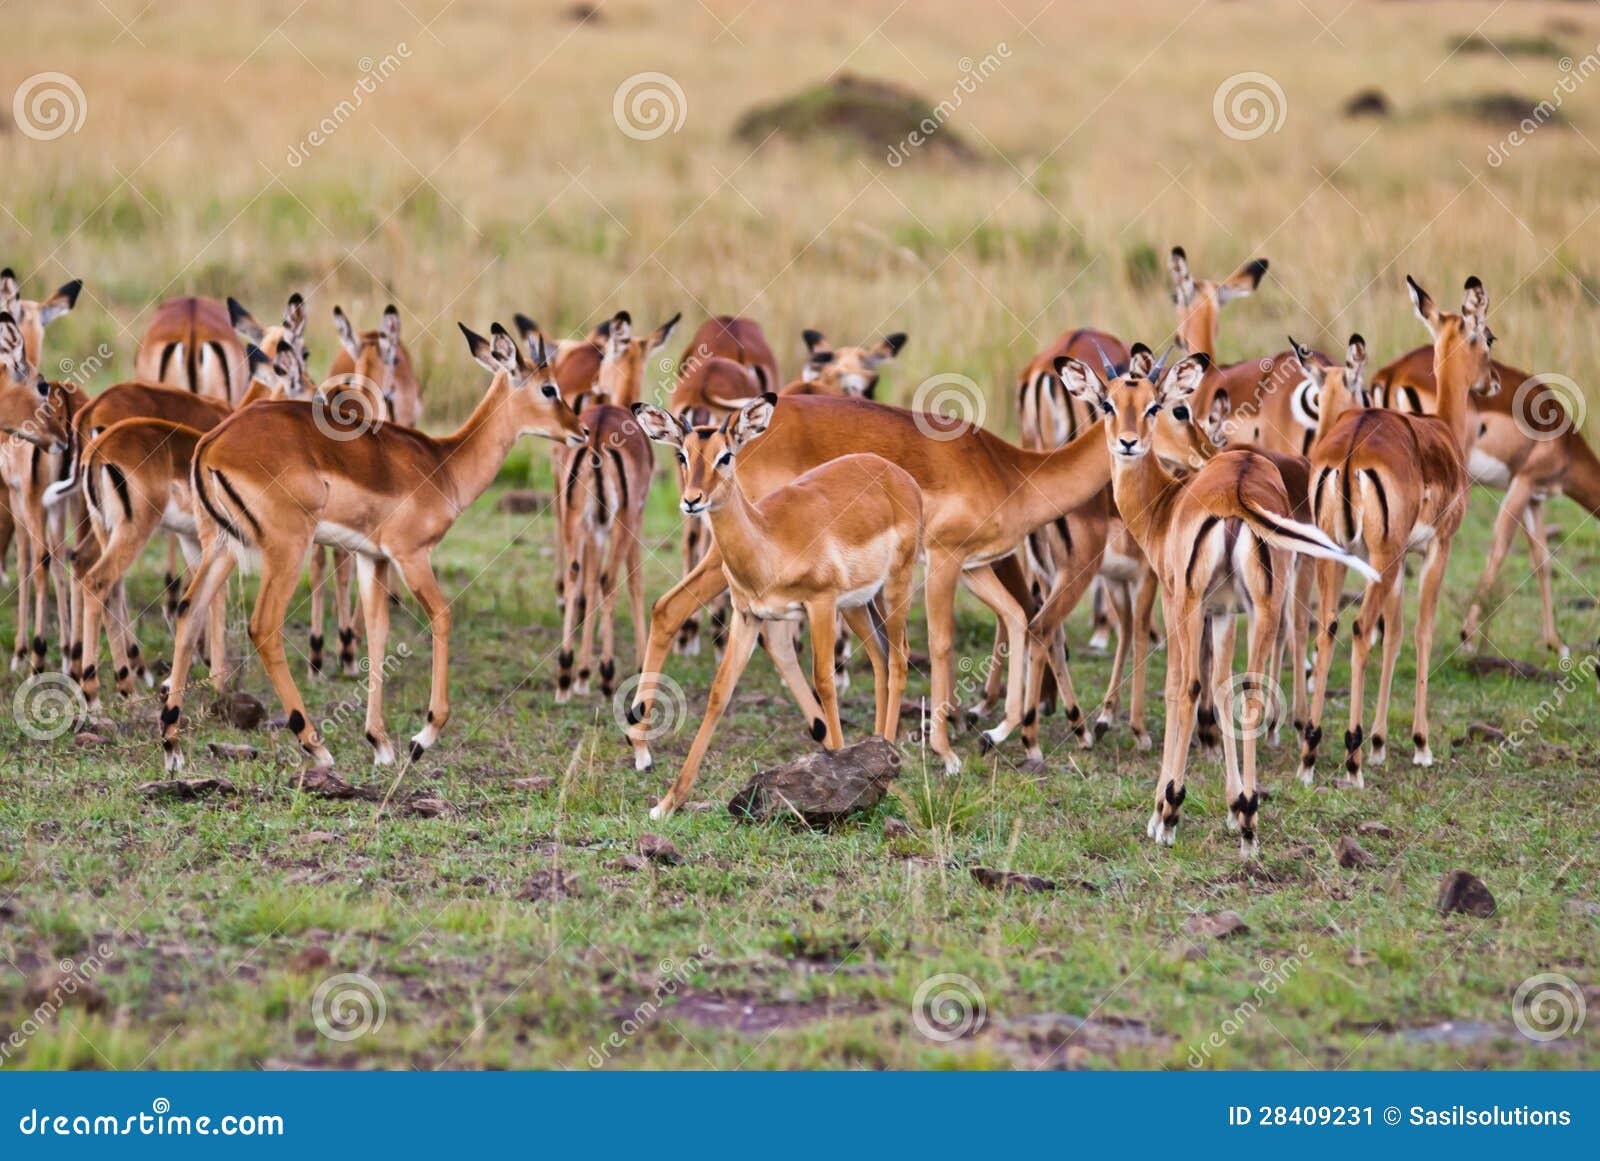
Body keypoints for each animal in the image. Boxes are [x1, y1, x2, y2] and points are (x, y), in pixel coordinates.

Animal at [159, 321, 588, 773]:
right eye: (548, 388)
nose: (582, 431)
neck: (444, 465)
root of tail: (212, 443)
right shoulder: (411, 555)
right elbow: (442, 616)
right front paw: (423, 736)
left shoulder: (371, 558)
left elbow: (377, 632)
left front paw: (379, 741)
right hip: (286, 548)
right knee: (263, 625)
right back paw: (315, 745)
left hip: (221, 544)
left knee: (189, 610)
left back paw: (172, 746)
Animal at [634, 397, 922, 818]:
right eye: (682, 454)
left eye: (726, 455)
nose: (692, 500)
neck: (769, 540)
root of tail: (897, 474)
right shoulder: (748, 615)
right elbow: (720, 691)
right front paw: (668, 803)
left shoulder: (819, 604)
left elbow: (825, 682)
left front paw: (840, 775)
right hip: (858, 604)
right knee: (881, 660)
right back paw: (881, 751)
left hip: (894, 587)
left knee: (899, 660)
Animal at [1056, 346, 1378, 855]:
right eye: (1107, 403)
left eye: (1155, 405)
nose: (1127, 443)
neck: (1164, 506)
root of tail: (1237, 495)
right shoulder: (1225, 611)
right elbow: (1225, 687)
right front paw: (1233, 805)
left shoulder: (1175, 601)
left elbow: (1176, 688)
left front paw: (1160, 812)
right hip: (1264, 608)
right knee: (1251, 694)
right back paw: (1250, 822)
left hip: (1193, 606)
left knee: (1189, 687)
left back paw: (1170, 815)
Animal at [1298, 276, 1495, 786]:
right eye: (1489, 337)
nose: (1494, 381)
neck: (1444, 430)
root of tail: (1350, 448)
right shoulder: (1435, 549)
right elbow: (1421, 631)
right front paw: (1420, 744)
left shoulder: (1400, 558)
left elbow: (1396, 634)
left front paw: (1382, 743)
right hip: (1379, 559)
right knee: (1359, 626)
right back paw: (1351, 759)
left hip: (1340, 557)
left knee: (1328, 627)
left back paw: (1310, 754)